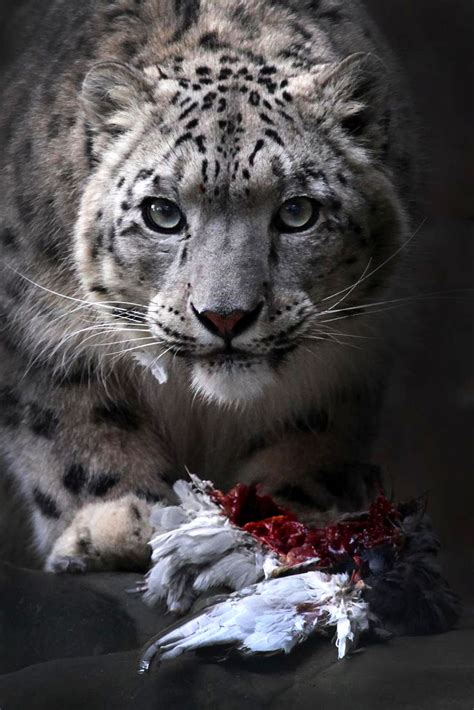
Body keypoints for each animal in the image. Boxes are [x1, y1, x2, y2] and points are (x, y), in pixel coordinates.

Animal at [0, 0, 415, 576]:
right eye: (162, 213)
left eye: (298, 212)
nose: (225, 317)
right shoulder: (35, 331)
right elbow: (73, 422)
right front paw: (117, 524)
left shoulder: (348, 362)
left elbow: (311, 433)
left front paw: (292, 520)